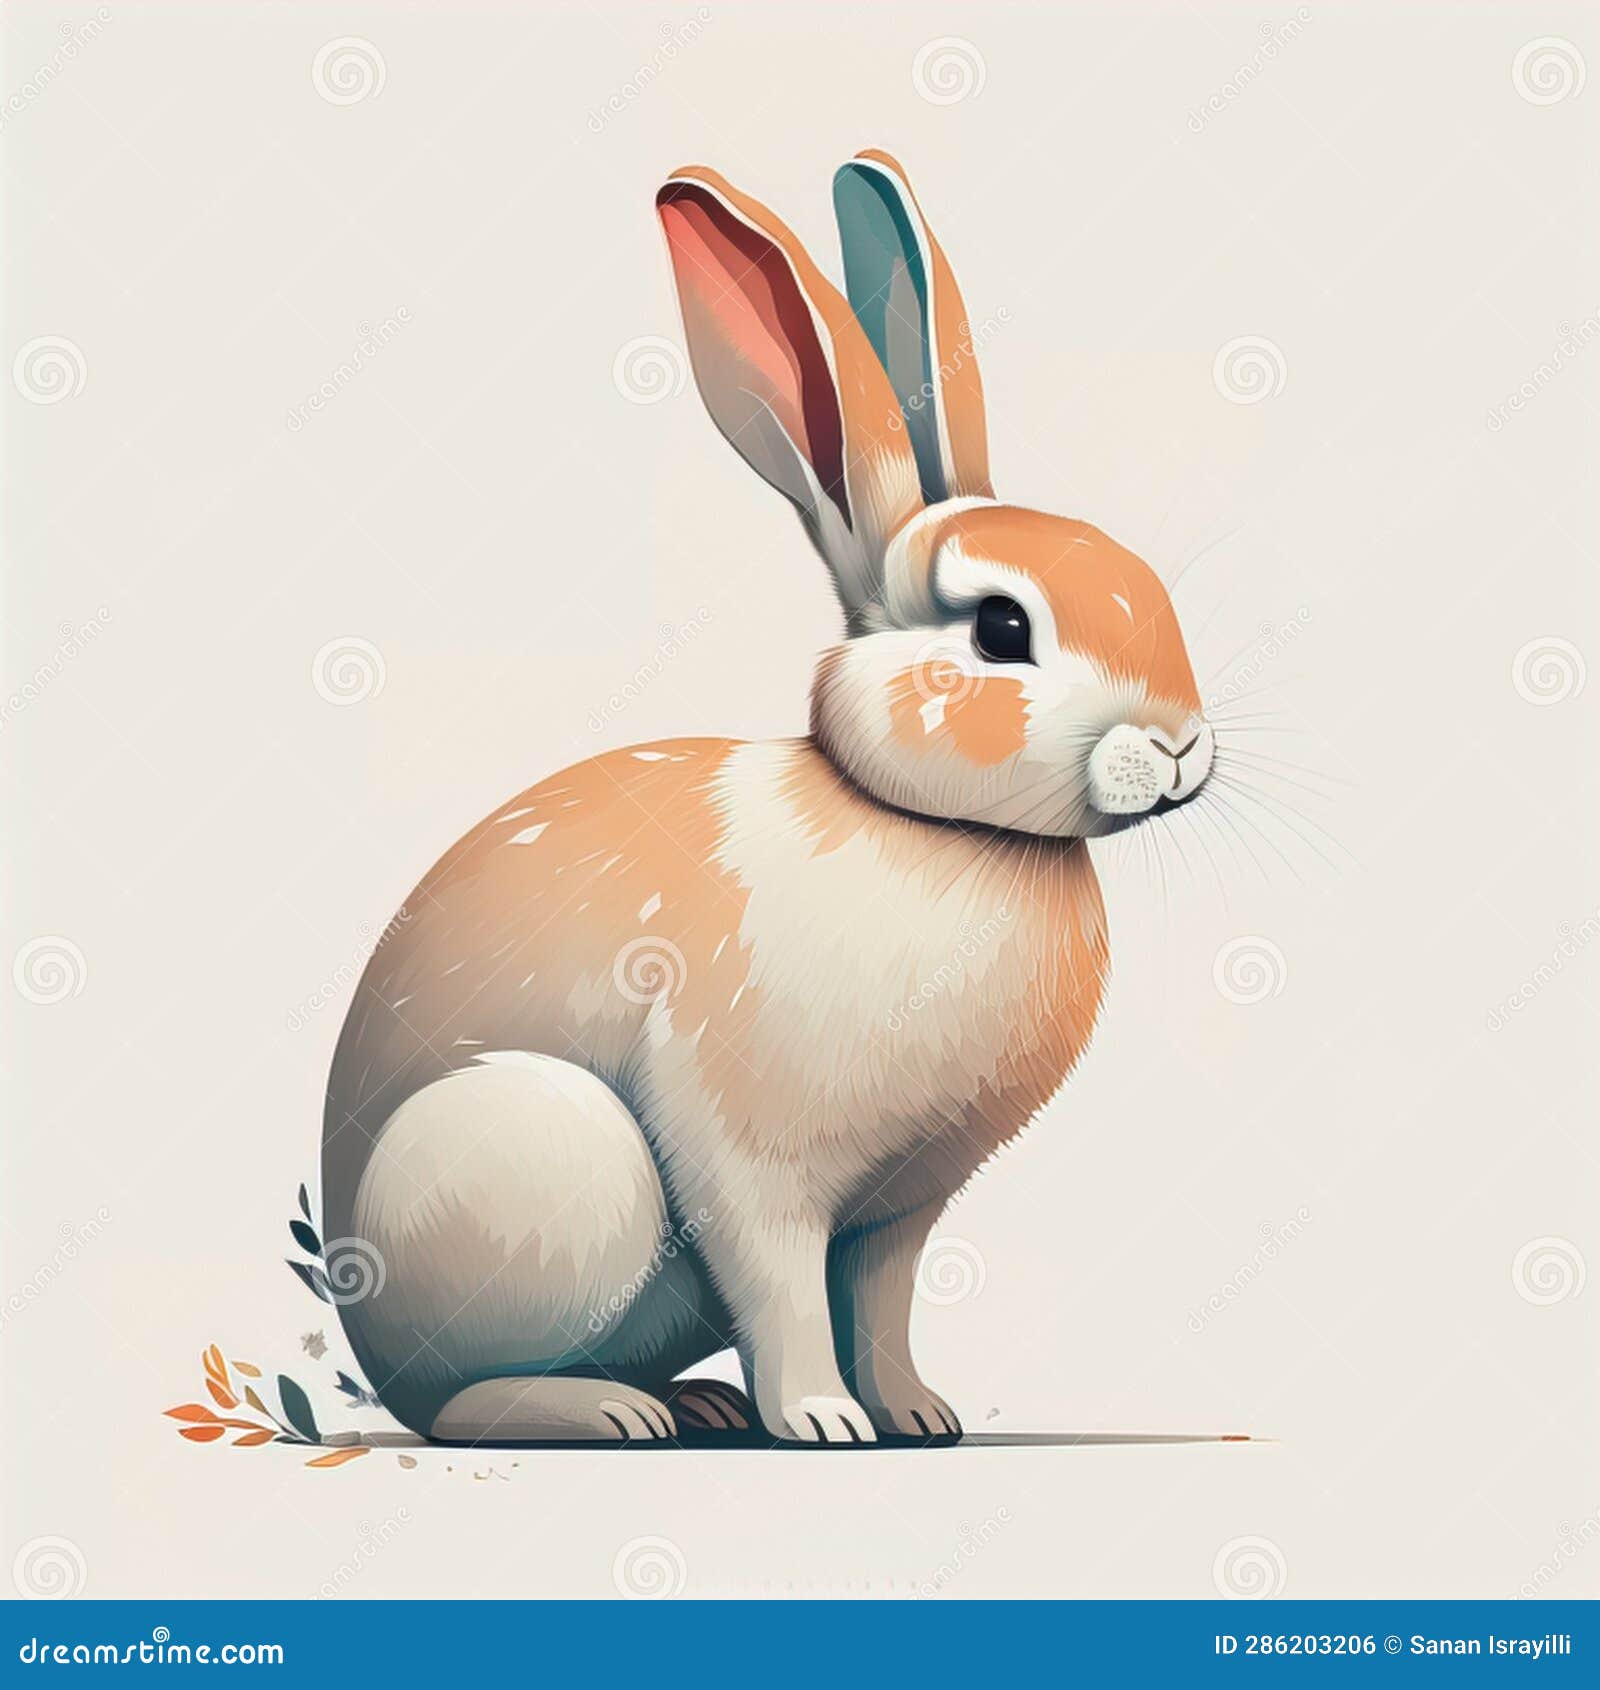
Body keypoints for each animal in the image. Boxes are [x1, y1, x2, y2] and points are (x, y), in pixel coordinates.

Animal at [319, 150, 1215, 1447]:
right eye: (1002, 629)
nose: (1183, 745)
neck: (928, 829)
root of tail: (358, 1325)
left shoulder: (900, 1209)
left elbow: (880, 1303)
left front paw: (918, 1414)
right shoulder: (749, 1168)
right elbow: (784, 1291)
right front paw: (824, 1420)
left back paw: (689, 1400)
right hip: (556, 1166)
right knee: (452, 1400)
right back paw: (610, 1413)